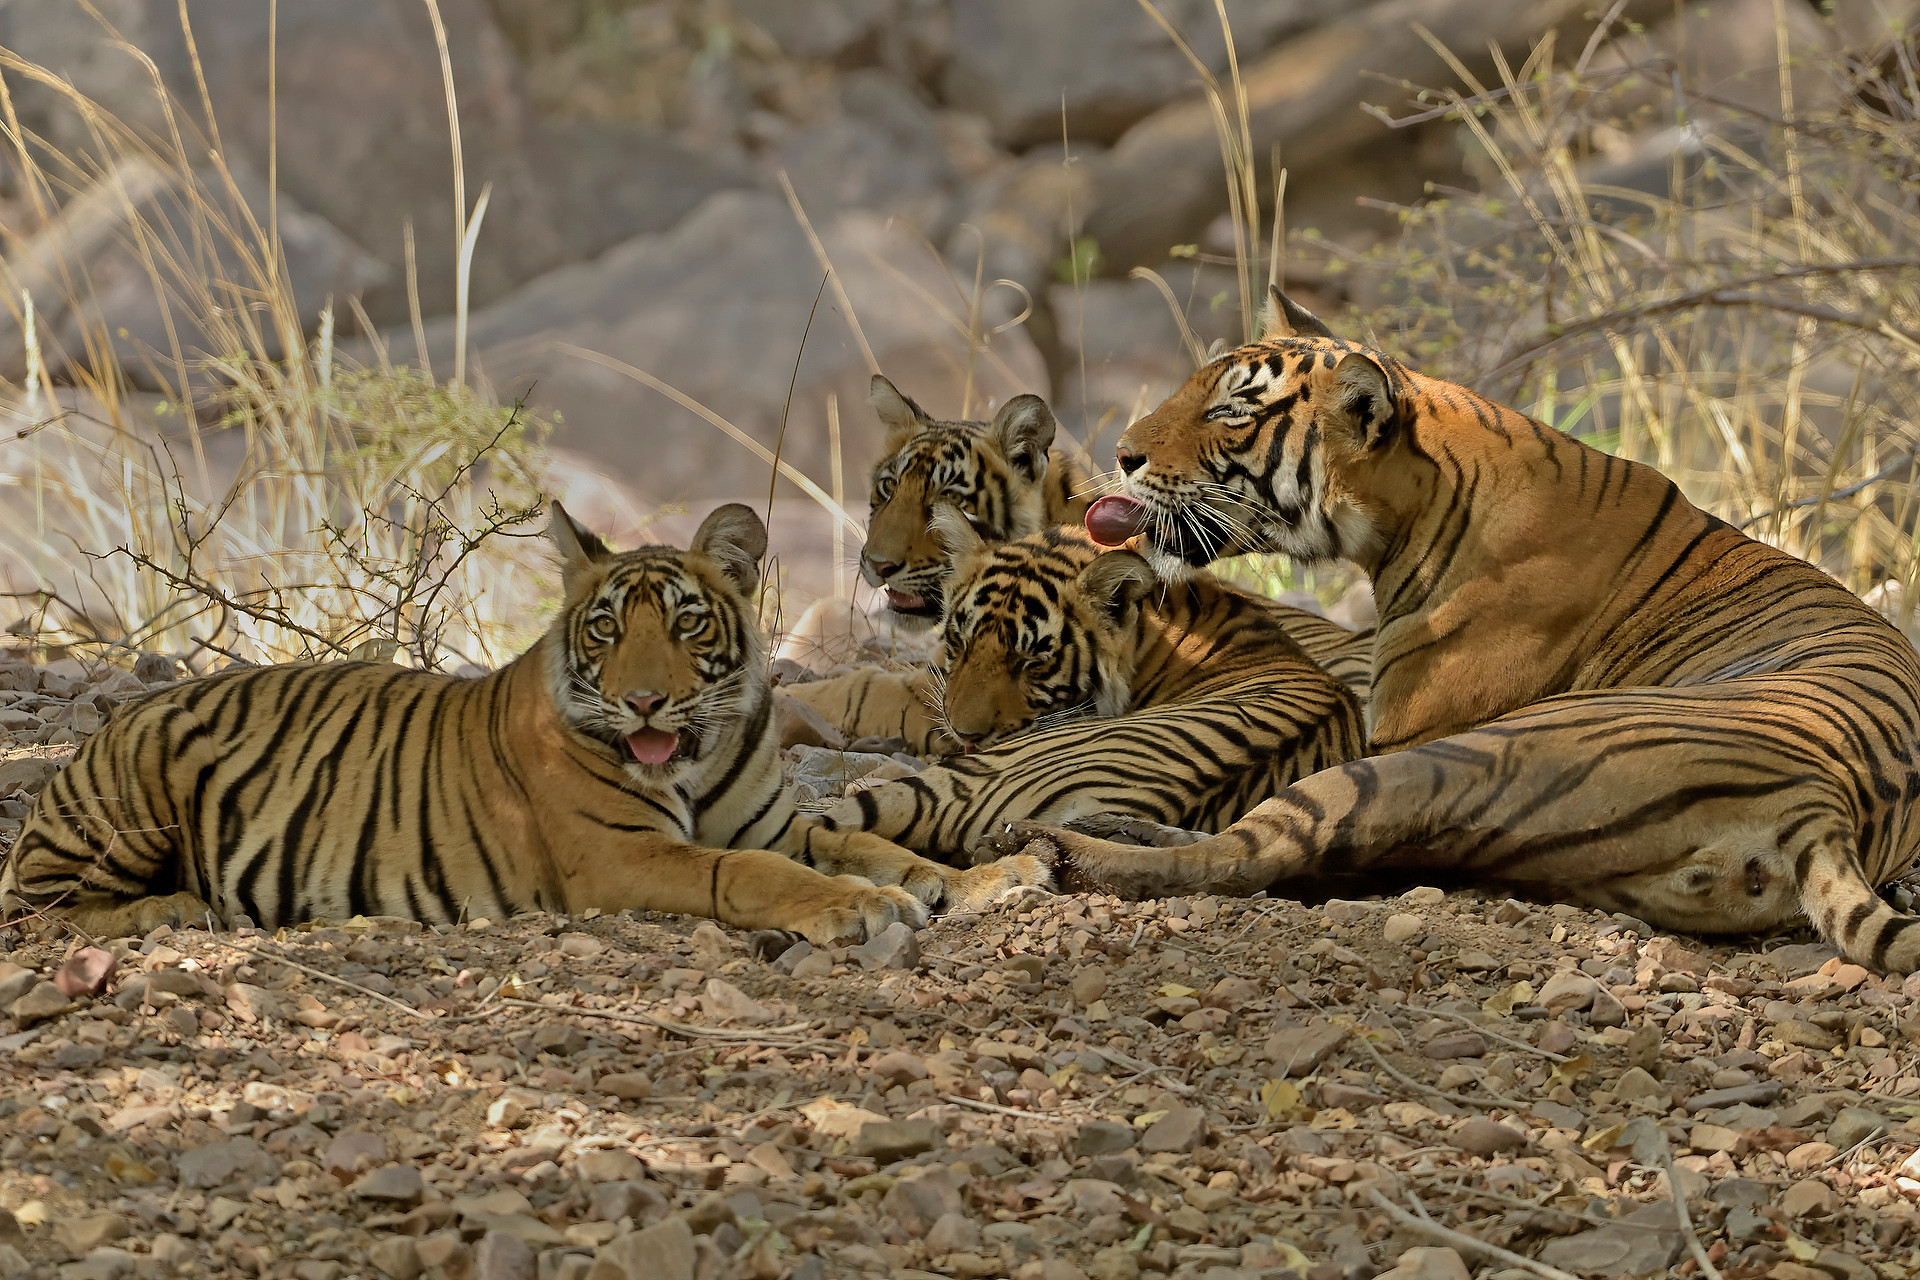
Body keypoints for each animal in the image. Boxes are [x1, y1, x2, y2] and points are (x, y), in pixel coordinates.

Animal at [0, 503, 1045, 945]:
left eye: (686, 624)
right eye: (607, 629)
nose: (644, 701)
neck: (698, 757)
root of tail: (105, 728)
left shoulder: (781, 825)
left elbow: (878, 848)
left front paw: (990, 877)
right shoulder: (622, 856)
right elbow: (750, 874)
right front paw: (857, 909)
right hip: (127, 807)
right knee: (41, 904)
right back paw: (173, 909)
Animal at [992, 285, 1920, 972]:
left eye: (1232, 412)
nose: (1122, 453)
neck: (1415, 508)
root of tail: (1825, 803)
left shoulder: (1402, 728)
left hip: (1445, 760)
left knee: (1244, 854)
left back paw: (1061, 845)